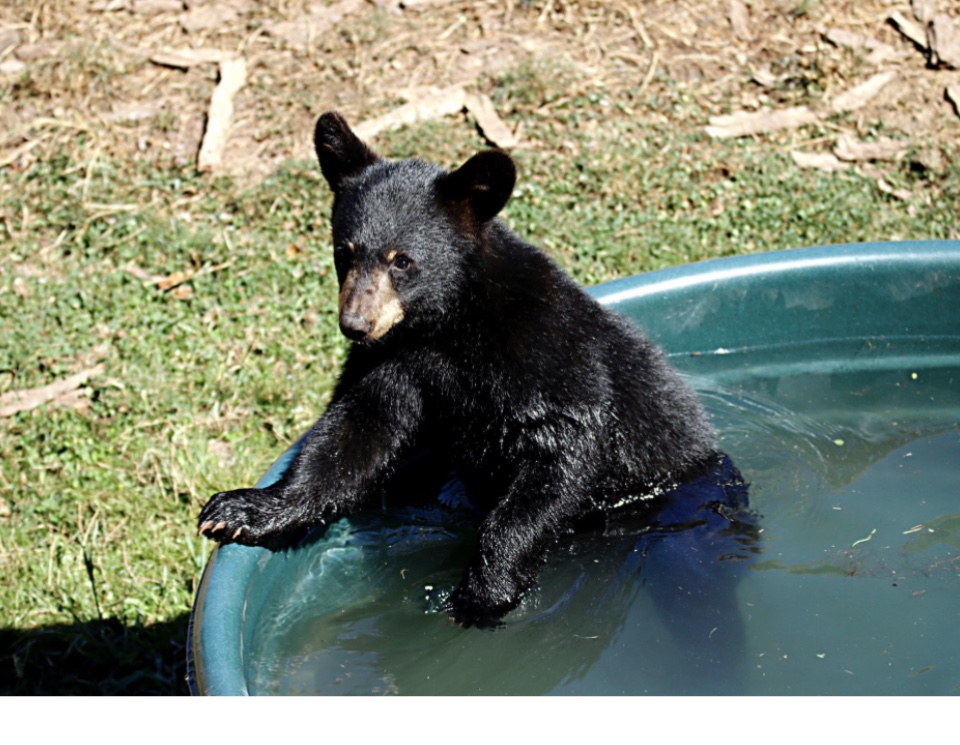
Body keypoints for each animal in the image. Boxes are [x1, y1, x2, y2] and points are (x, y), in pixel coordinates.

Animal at [198, 111, 729, 629]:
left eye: (402, 261)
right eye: (343, 252)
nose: (355, 324)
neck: (447, 325)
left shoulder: (545, 349)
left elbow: (563, 448)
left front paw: (484, 590)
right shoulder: (394, 362)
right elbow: (353, 435)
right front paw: (241, 509)